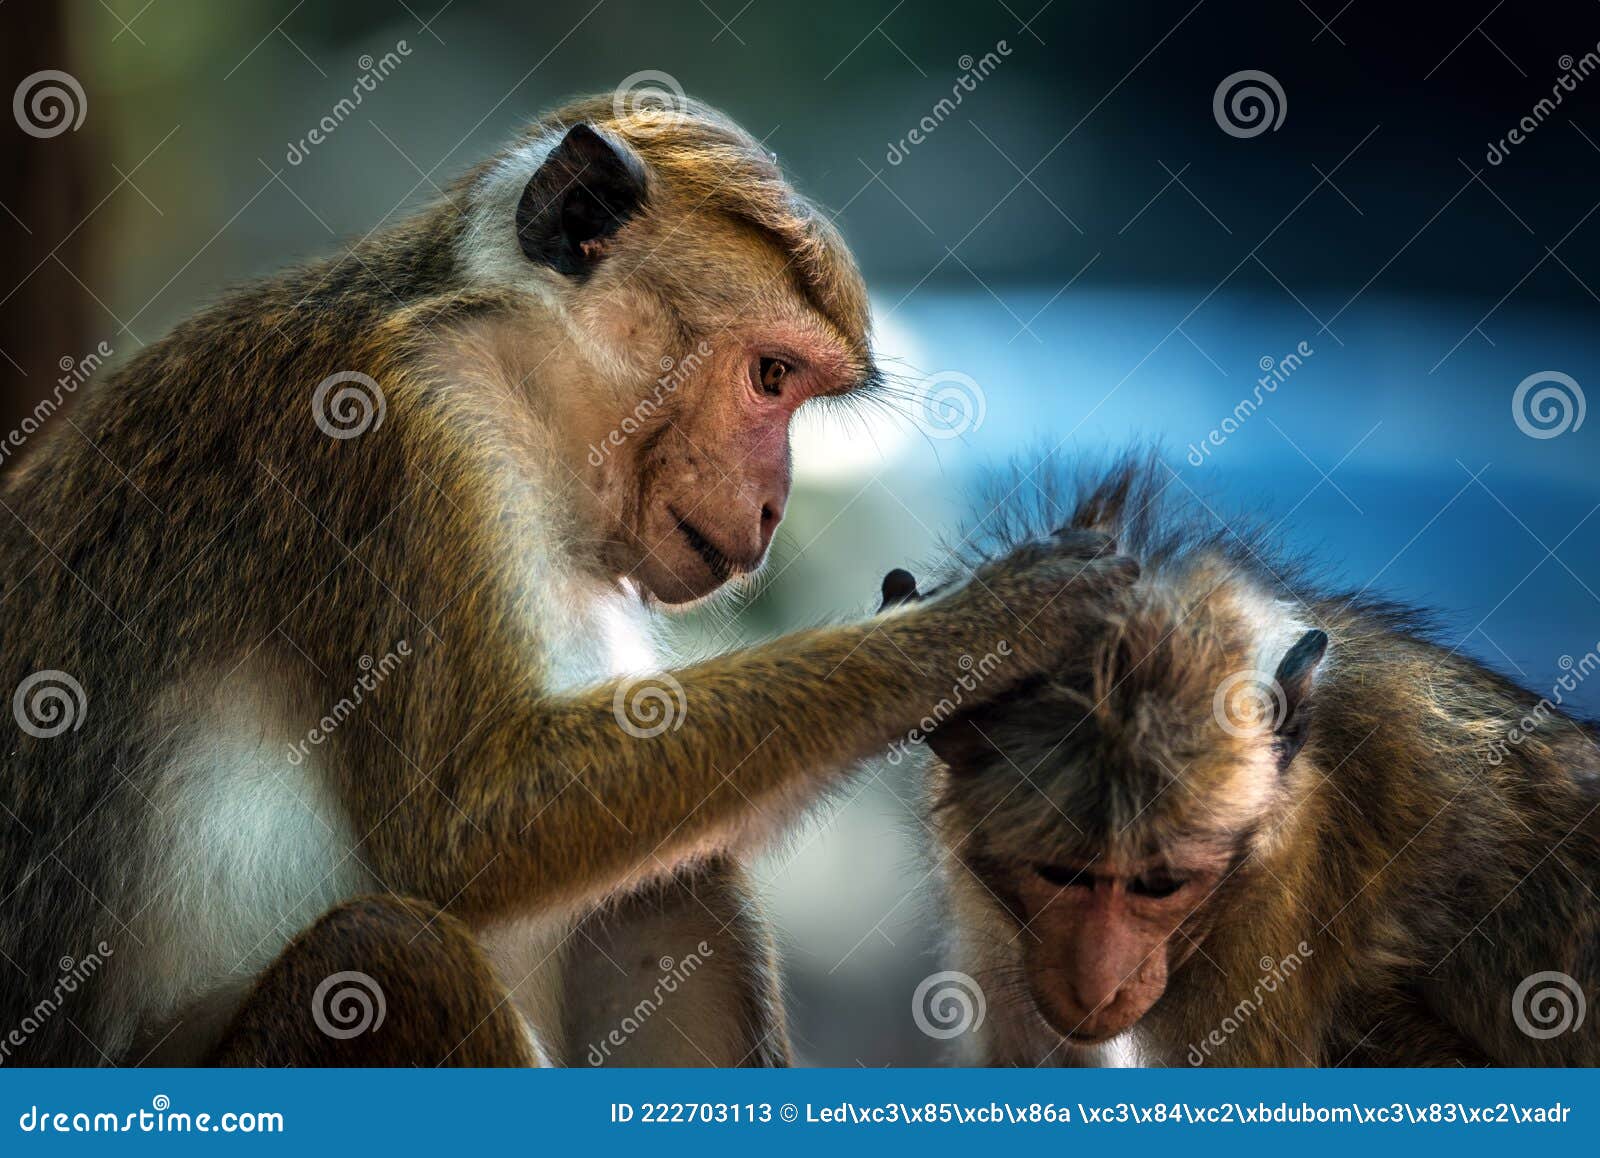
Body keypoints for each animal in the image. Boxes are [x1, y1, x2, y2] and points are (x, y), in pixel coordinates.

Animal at [0, 95, 1138, 1067]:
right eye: (769, 376)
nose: (776, 505)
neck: (523, 389)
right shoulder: (399, 426)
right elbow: (463, 824)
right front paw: (977, 633)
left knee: (667, 885)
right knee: (388, 954)